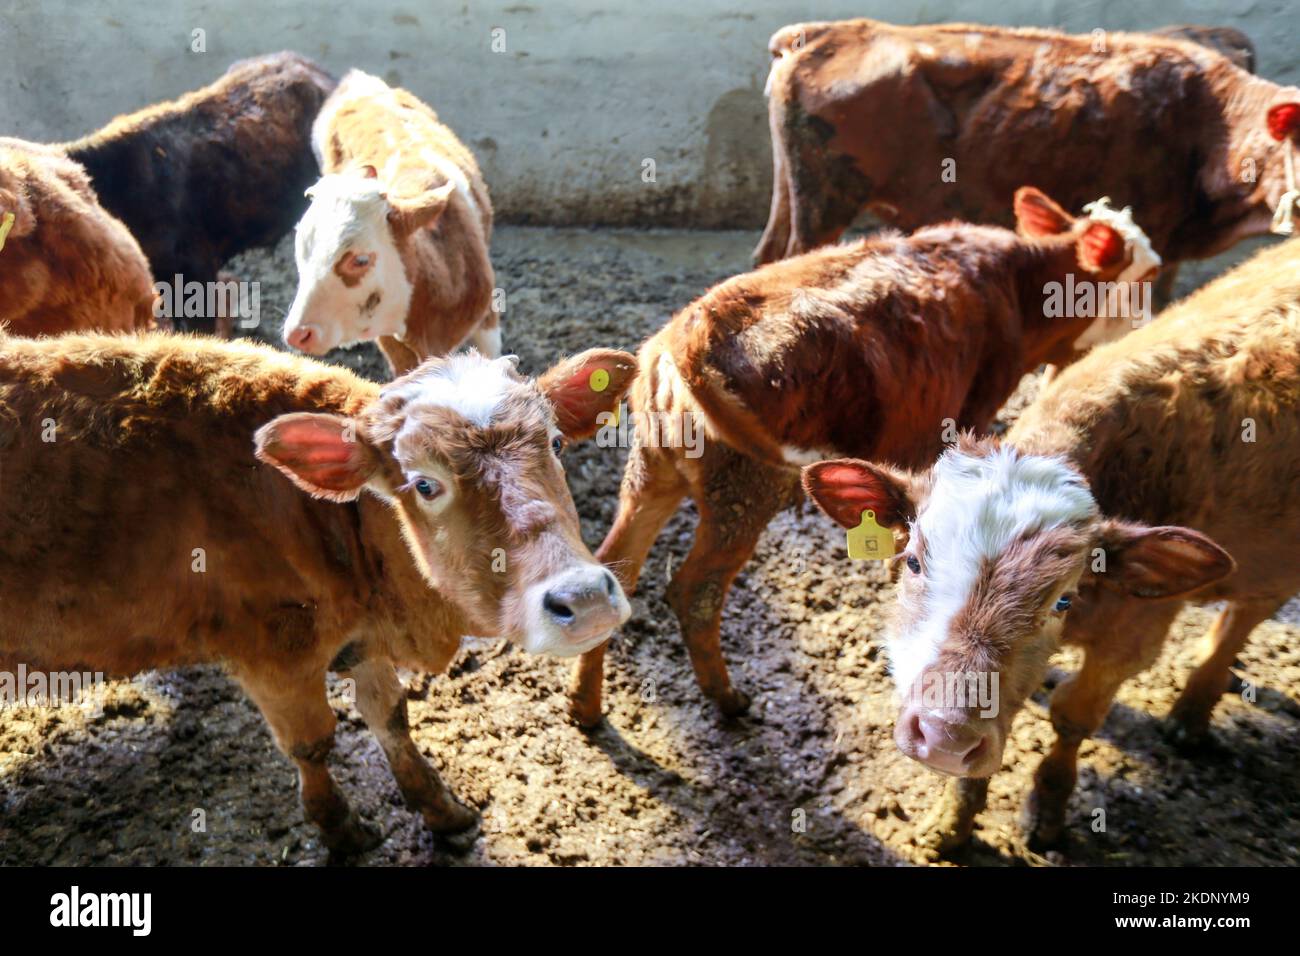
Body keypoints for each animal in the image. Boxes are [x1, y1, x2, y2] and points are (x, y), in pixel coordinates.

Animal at [0, 333, 636, 855]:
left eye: (556, 442)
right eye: (425, 484)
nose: (584, 598)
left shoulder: (364, 638)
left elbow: (391, 719)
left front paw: (442, 810)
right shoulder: (272, 654)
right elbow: (313, 744)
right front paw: (342, 829)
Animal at [567, 187, 1160, 727]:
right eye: (1146, 279)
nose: (1147, 327)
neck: (1016, 287)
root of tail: (688, 332)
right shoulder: (971, 410)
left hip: (652, 472)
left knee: (617, 567)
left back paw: (586, 707)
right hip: (745, 491)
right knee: (696, 594)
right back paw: (727, 699)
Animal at [802, 235, 1300, 854]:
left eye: (1063, 598)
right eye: (914, 561)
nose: (944, 737)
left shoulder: (1135, 635)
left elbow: (1073, 718)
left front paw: (1048, 806)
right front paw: (952, 821)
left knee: (1252, 608)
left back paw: (1192, 709)